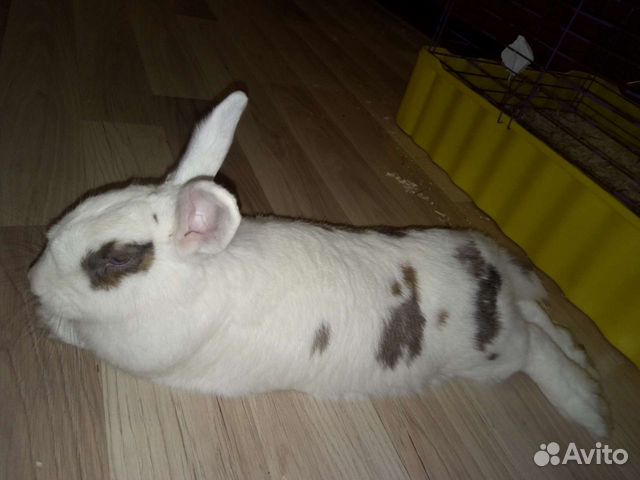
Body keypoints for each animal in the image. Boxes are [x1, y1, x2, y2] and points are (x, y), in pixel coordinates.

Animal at [29, 91, 607, 437]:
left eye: (116, 258)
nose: (32, 280)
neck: (197, 279)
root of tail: (488, 270)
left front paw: (47, 318)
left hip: (490, 358)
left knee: (535, 351)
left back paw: (588, 407)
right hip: (510, 315)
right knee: (540, 322)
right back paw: (582, 357)